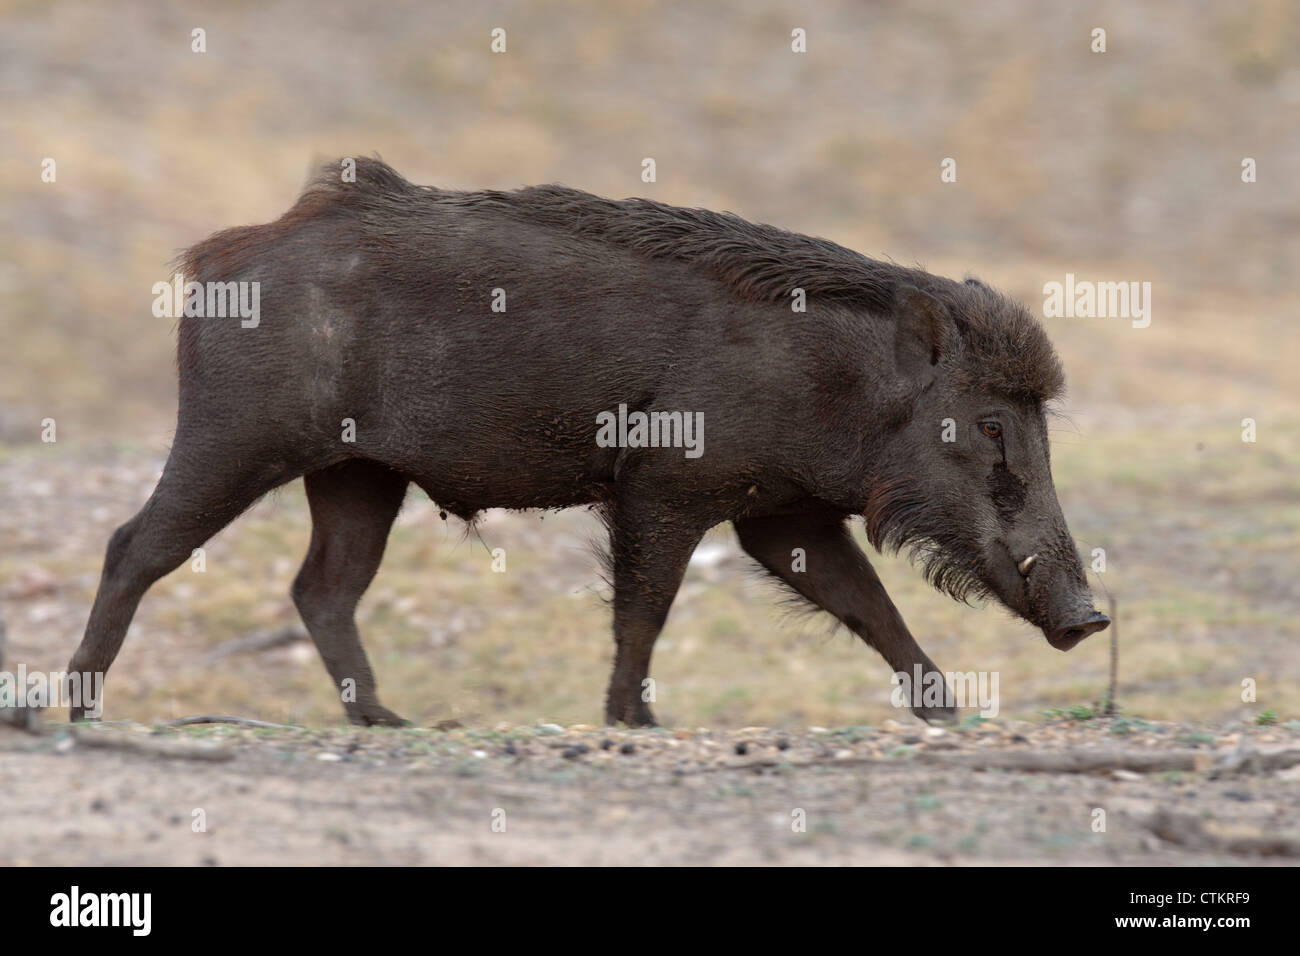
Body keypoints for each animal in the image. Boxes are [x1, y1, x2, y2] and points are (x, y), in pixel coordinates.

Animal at [68, 158, 1108, 726]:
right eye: (989, 423)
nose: (1091, 619)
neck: (846, 385)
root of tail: (218, 258)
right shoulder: (664, 488)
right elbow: (643, 613)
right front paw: (632, 721)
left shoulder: (780, 514)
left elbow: (867, 607)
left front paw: (950, 714)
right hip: (237, 436)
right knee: (135, 545)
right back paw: (70, 706)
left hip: (358, 474)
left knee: (320, 589)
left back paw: (393, 721)